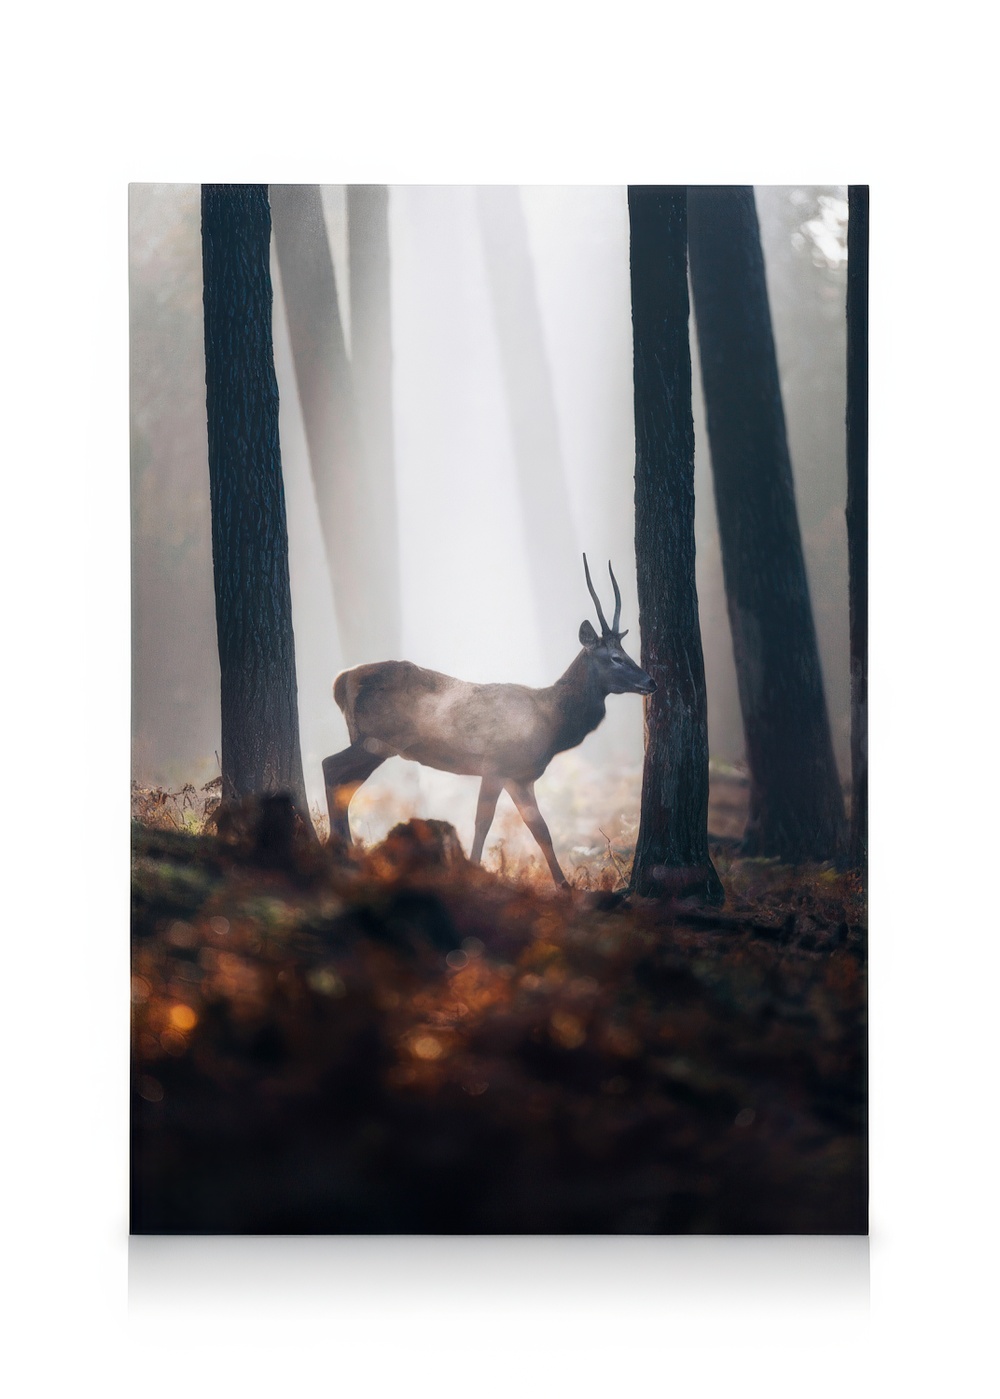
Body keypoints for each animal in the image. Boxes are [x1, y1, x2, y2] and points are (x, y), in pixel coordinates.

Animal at [321, 556, 655, 887]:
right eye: (615, 658)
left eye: (626, 652)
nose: (650, 681)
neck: (551, 724)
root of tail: (340, 681)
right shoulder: (496, 764)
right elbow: (483, 821)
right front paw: (473, 871)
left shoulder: (520, 776)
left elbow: (541, 830)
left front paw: (565, 886)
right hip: (378, 739)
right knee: (330, 766)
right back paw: (339, 850)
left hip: (374, 742)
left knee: (343, 783)